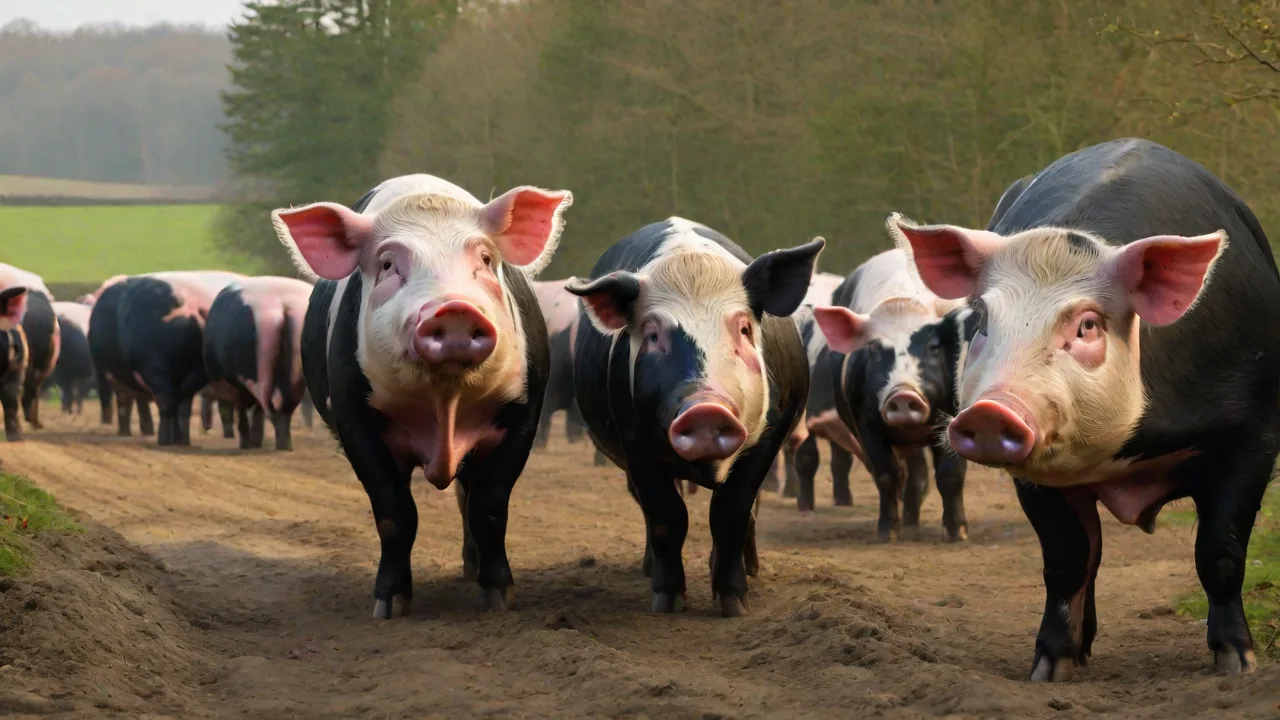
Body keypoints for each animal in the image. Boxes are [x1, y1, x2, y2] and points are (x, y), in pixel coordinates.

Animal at [203, 276, 312, 450]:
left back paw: (254, 444)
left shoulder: (235, 385)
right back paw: (284, 446)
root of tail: (283, 306)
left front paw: (246, 444)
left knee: (266, 404)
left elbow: (242, 411)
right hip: (296, 370)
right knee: (284, 405)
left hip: (253, 371)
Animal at [275, 173, 573, 618]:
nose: (455, 309)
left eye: (485, 259)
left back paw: (471, 572)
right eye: (387, 264)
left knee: (466, 497)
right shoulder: (355, 420)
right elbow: (394, 514)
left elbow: (489, 508)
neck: (443, 405)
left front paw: (499, 601)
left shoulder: (523, 415)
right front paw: (388, 607)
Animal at [569, 217, 824, 616]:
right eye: (652, 334)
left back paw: (752, 569)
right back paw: (647, 569)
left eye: (744, 329)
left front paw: (735, 605)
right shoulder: (633, 441)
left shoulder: (770, 436)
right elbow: (666, 516)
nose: (706, 406)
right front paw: (665, 603)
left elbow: (731, 512)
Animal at [813, 248, 970, 542]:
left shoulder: (955, 417)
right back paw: (908, 522)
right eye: (874, 351)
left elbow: (951, 475)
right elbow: (887, 475)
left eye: (933, 346)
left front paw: (958, 534)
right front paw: (887, 534)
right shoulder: (865, 425)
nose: (902, 394)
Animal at [892, 138, 1280, 680]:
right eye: (983, 319)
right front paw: (1050, 670)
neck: (1130, 453)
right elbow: (1067, 558)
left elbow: (1220, 552)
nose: (991, 411)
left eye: (1089, 325)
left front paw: (1237, 664)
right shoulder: (1034, 473)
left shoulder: (1253, 433)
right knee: (1093, 554)